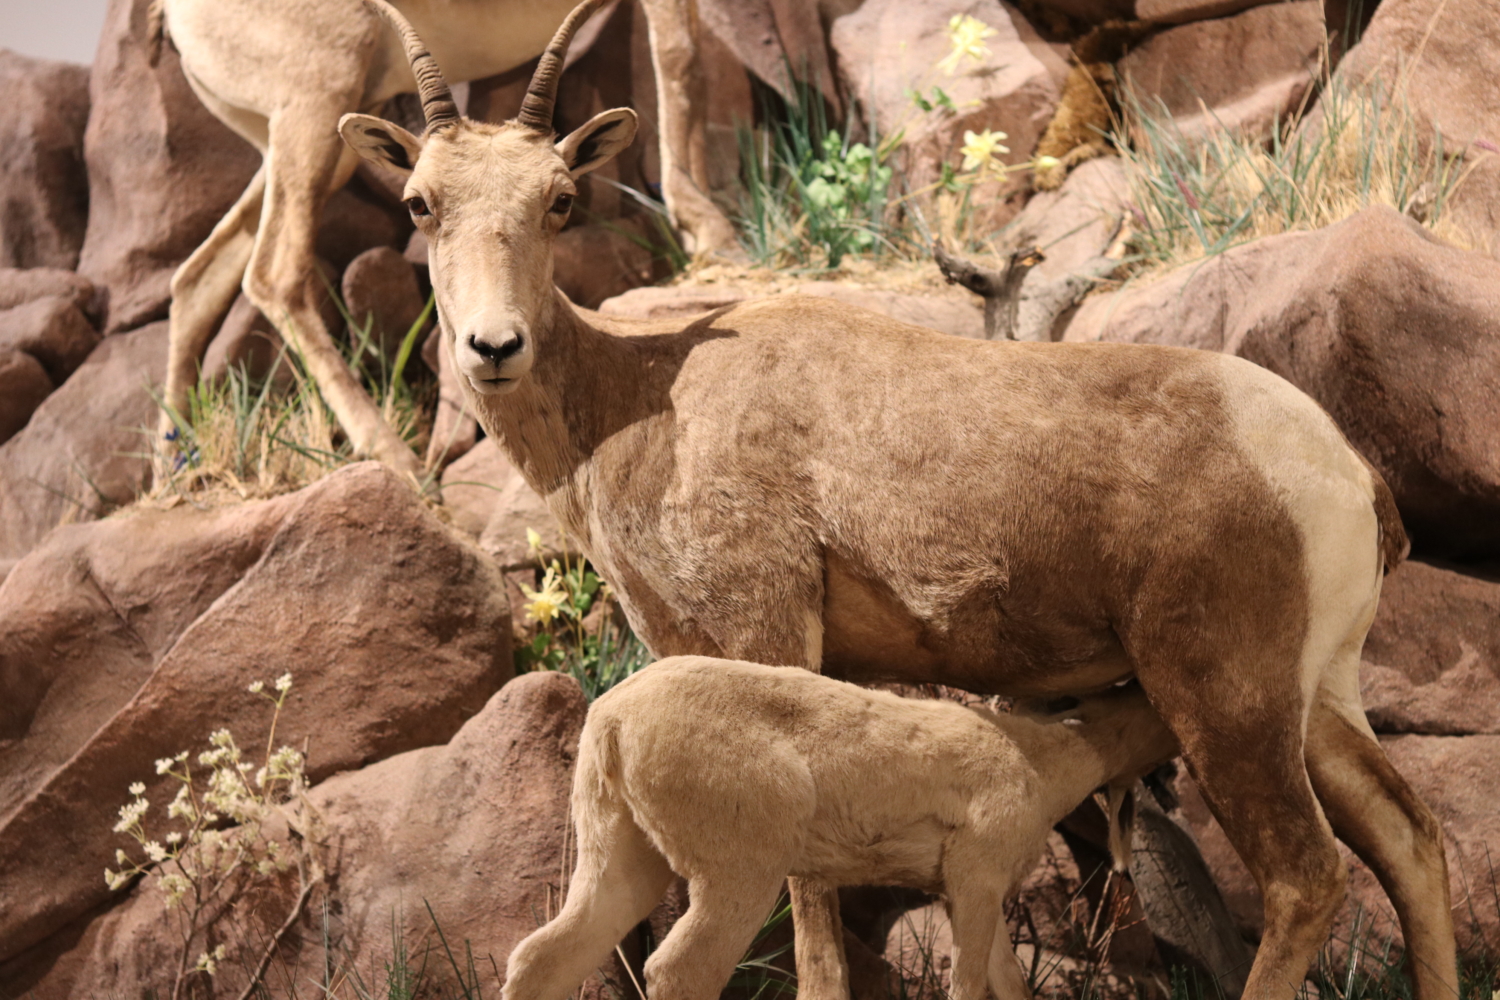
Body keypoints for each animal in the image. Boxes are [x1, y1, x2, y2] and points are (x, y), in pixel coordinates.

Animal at [501, 655, 1180, 1000]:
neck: (1044, 761)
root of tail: (611, 721)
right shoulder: (978, 877)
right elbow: (968, 984)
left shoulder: (966, 889)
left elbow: (1007, 983)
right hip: (738, 863)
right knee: (678, 970)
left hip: (618, 845)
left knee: (542, 956)